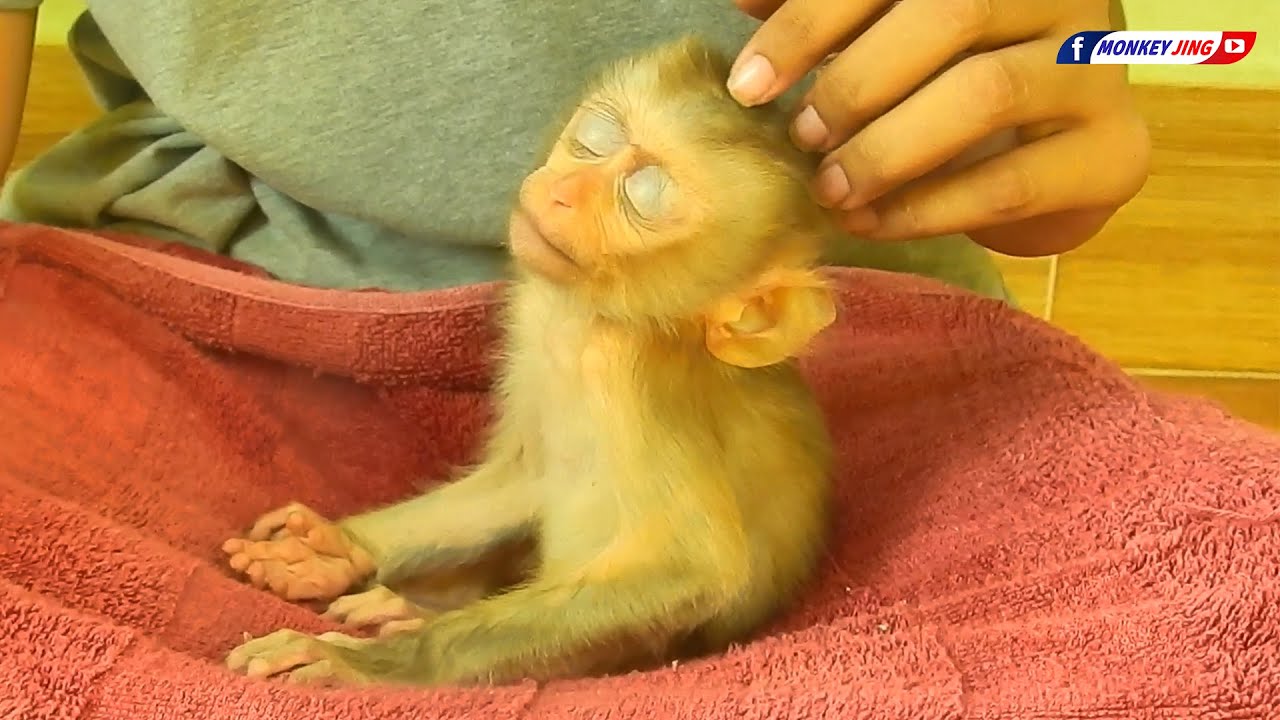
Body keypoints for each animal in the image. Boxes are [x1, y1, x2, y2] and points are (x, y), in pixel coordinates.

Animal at [220, 34, 838, 688]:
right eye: (597, 137)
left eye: (644, 195)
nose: (564, 192)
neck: (586, 325)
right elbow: (524, 478)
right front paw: (331, 548)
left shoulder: (638, 381)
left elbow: (690, 570)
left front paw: (368, 664)